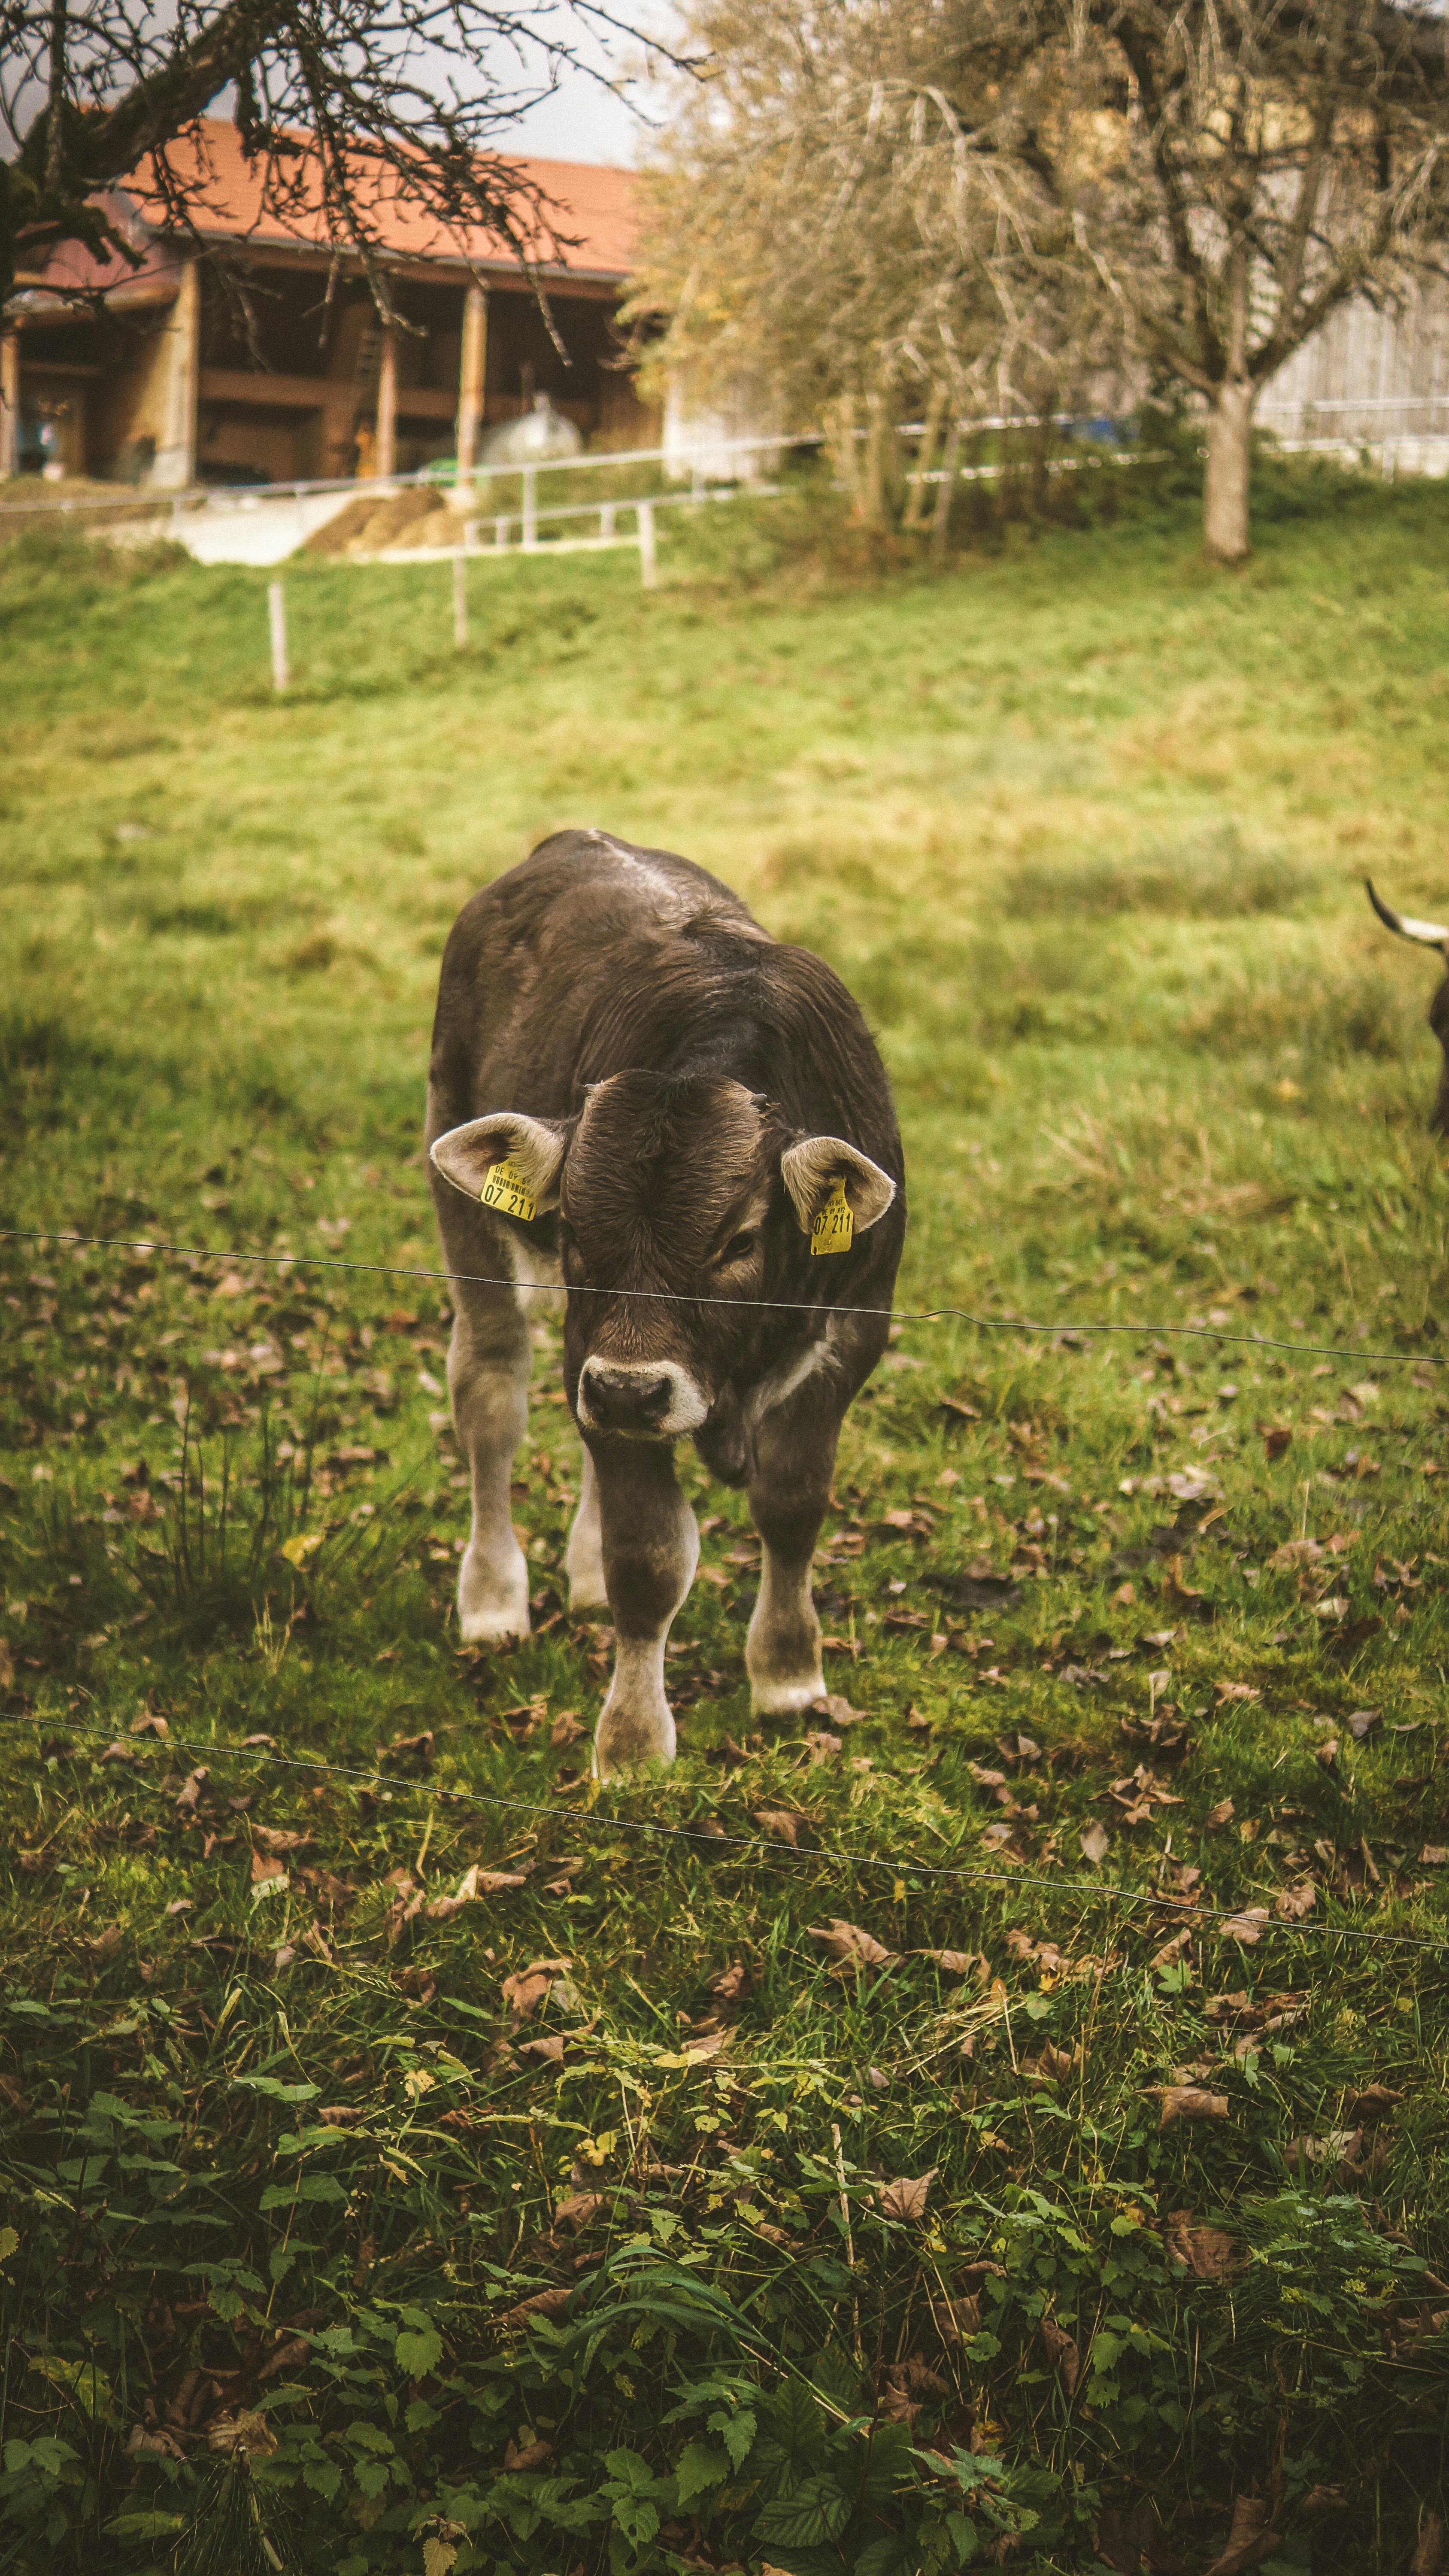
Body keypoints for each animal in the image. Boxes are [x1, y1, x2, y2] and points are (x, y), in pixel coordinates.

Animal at [425, 829, 906, 1778]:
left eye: (739, 1240)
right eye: (575, 1229)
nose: (628, 1390)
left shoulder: (851, 1337)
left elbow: (792, 1503)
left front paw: (788, 1674)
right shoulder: (594, 1350)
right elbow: (647, 1557)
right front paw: (633, 1741)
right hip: (475, 1234)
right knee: (490, 1398)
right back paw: (494, 1597)